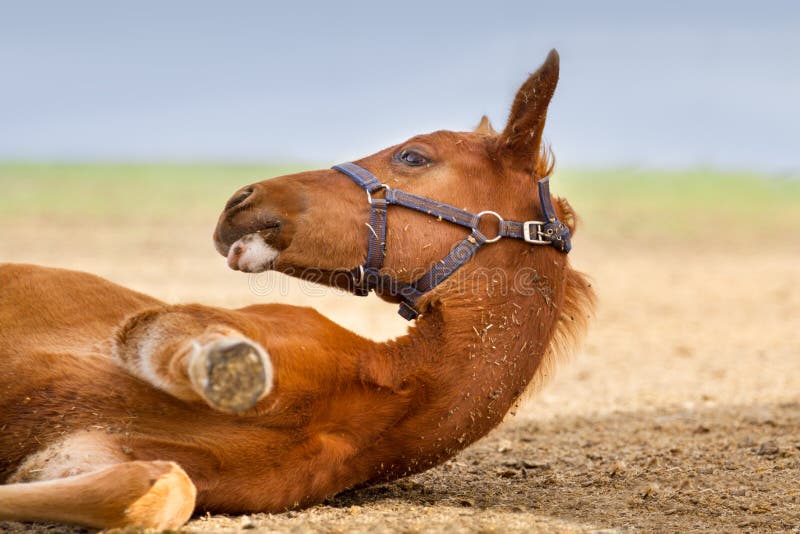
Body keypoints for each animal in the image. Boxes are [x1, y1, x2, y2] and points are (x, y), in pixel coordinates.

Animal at [0, 49, 593, 530]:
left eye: (413, 156)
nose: (240, 200)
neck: (374, 388)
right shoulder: (178, 325)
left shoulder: (82, 454)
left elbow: (158, 490)